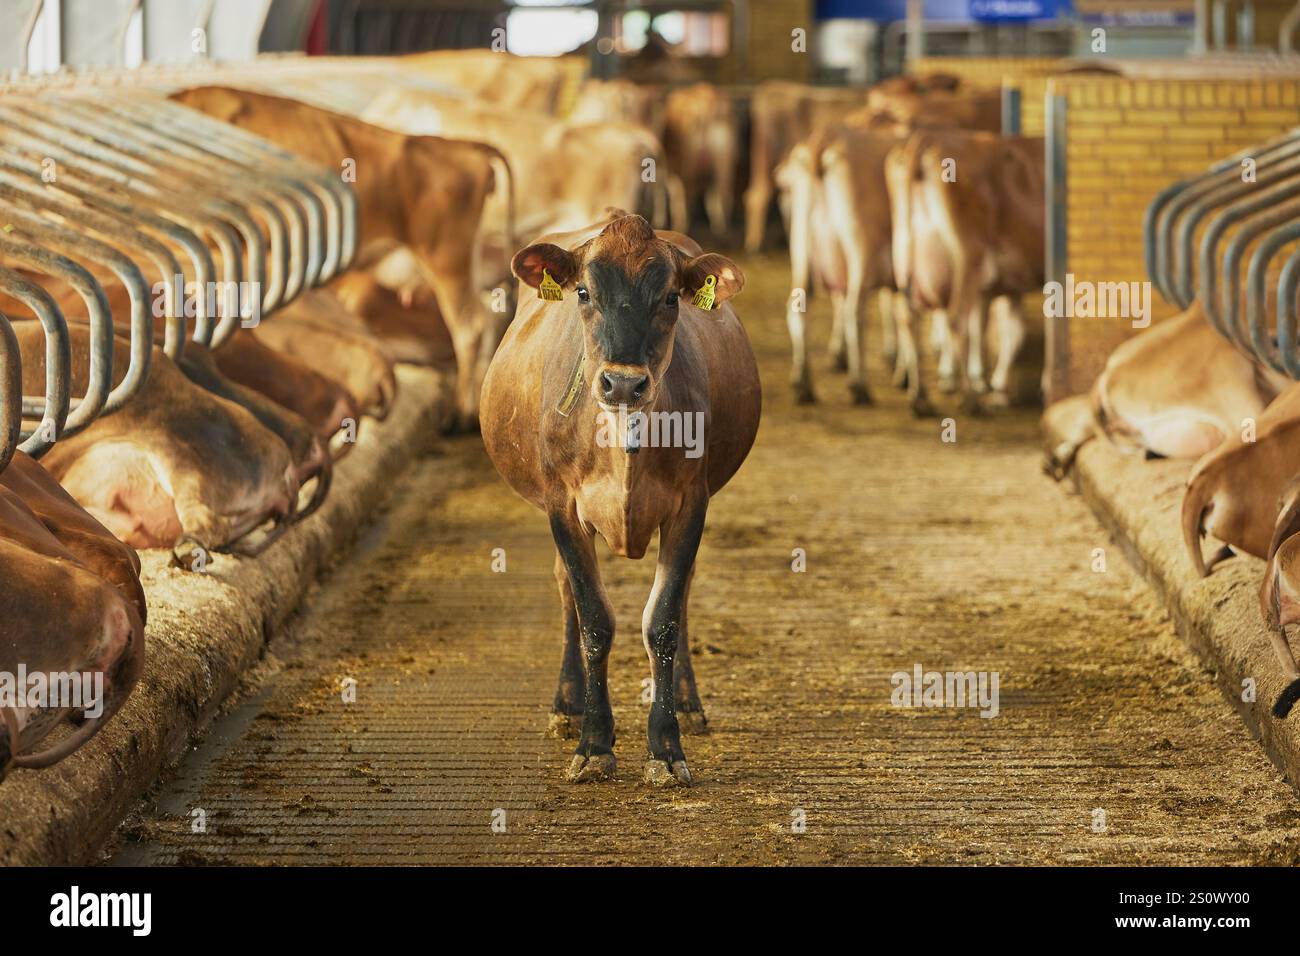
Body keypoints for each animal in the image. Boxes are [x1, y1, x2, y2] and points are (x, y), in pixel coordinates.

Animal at [480, 212, 760, 787]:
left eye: (672, 297)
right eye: (584, 292)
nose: (623, 384)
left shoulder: (691, 504)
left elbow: (664, 619)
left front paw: (666, 746)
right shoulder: (563, 506)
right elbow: (594, 618)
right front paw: (593, 743)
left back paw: (687, 704)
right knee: (565, 588)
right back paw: (566, 706)